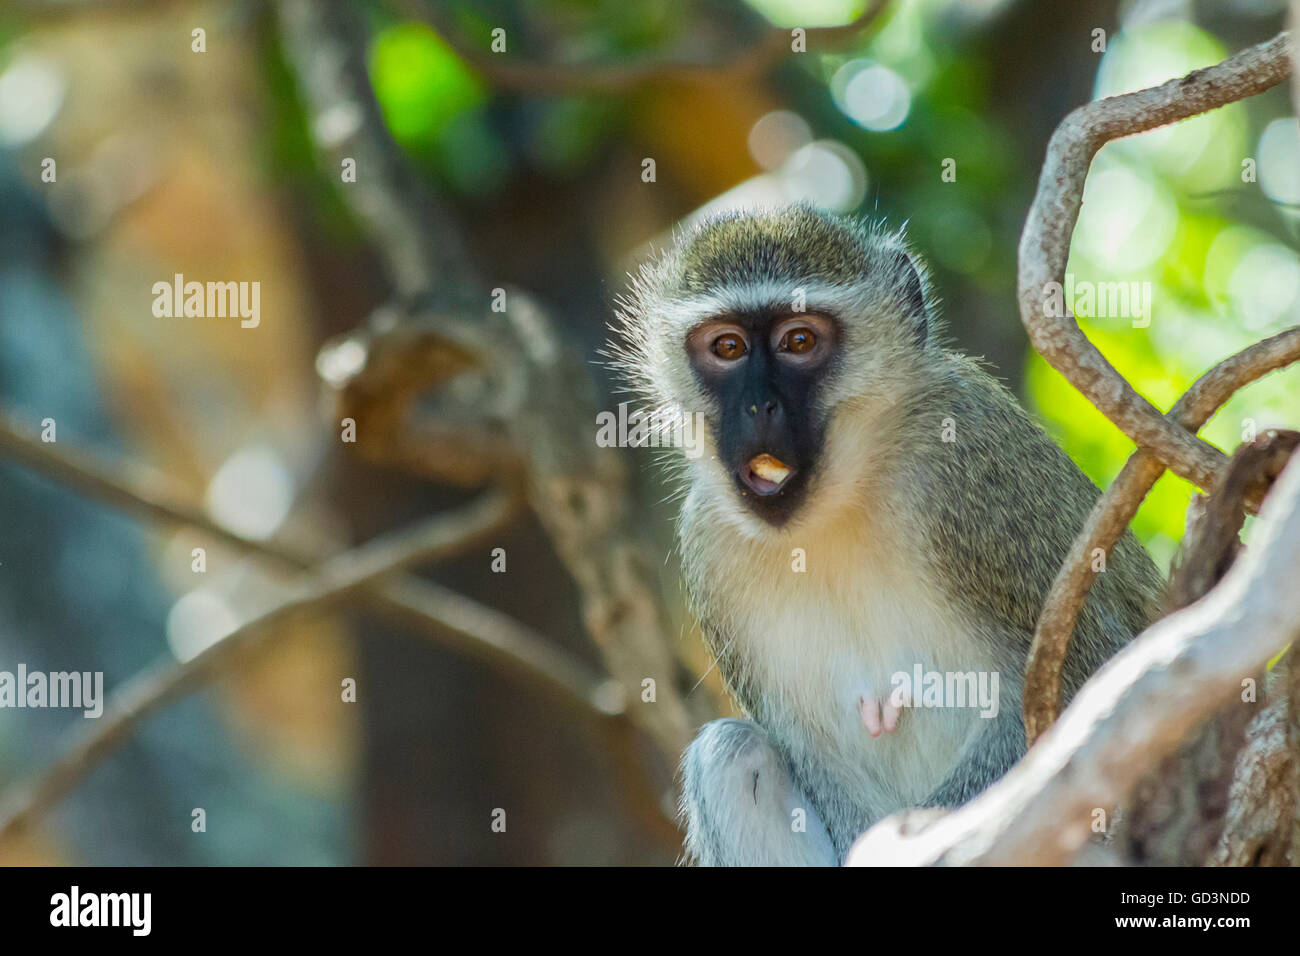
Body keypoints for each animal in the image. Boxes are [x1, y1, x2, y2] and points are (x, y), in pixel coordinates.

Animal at [608, 204, 1164, 866]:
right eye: (727, 347)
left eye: (799, 341)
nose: (759, 407)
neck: (845, 497)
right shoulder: (709, 544)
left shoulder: (974, 472)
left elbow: (1093, 676)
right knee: (731, 753)